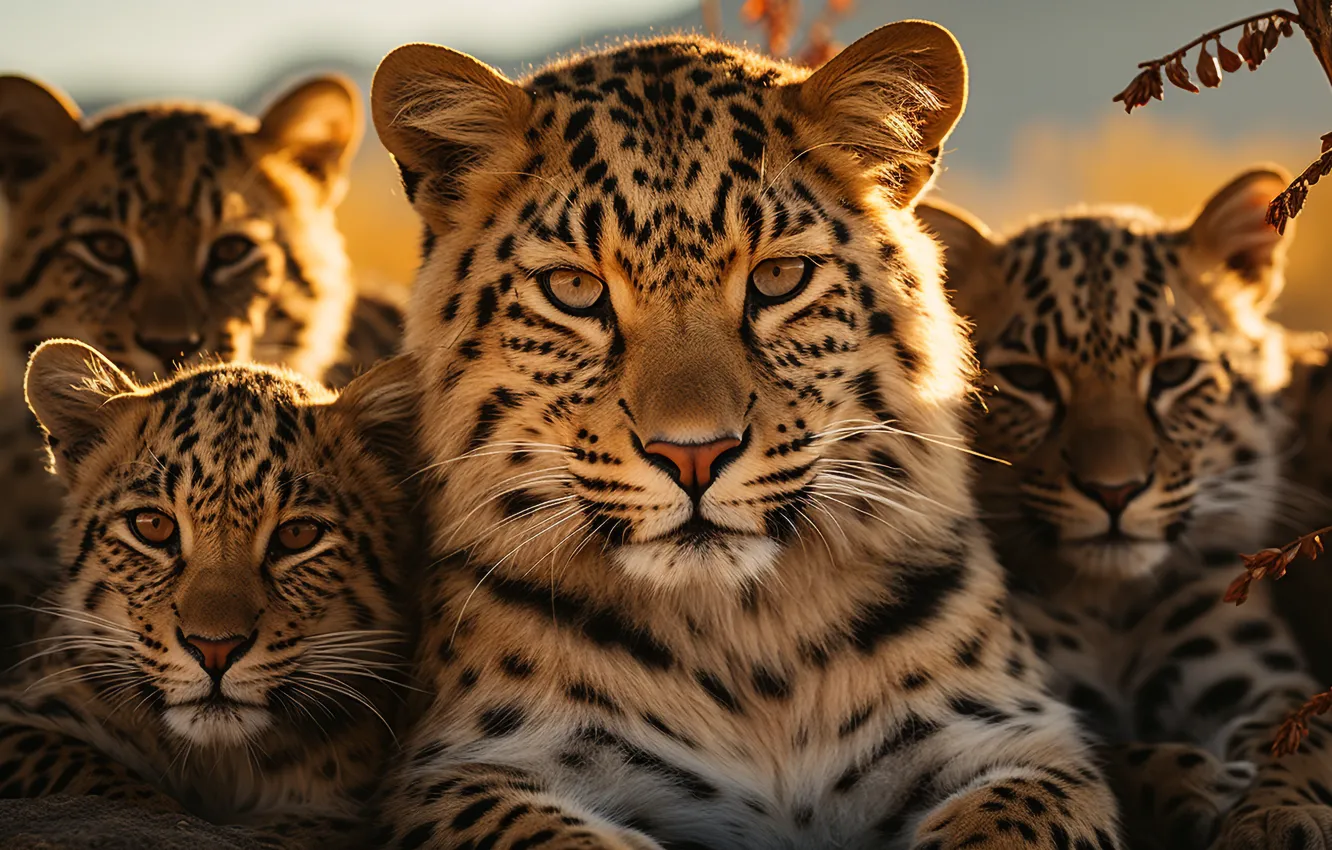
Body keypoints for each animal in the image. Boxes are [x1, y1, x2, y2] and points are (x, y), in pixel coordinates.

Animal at [369, 22, 1125, 850]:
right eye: (573, 290)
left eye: (779, 279)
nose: (693, 454)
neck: (747, 645)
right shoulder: (464, 768)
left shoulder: (1018, 739)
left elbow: (1009, 821)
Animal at [920, 166, 1332, 849]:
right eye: (1029, 380)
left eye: (1173, 373)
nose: (1113, 491)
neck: (1109, 606)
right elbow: (1109, 751)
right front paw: (1199, 784)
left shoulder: (1260, 678)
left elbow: (1300, 740)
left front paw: (1277, 817)